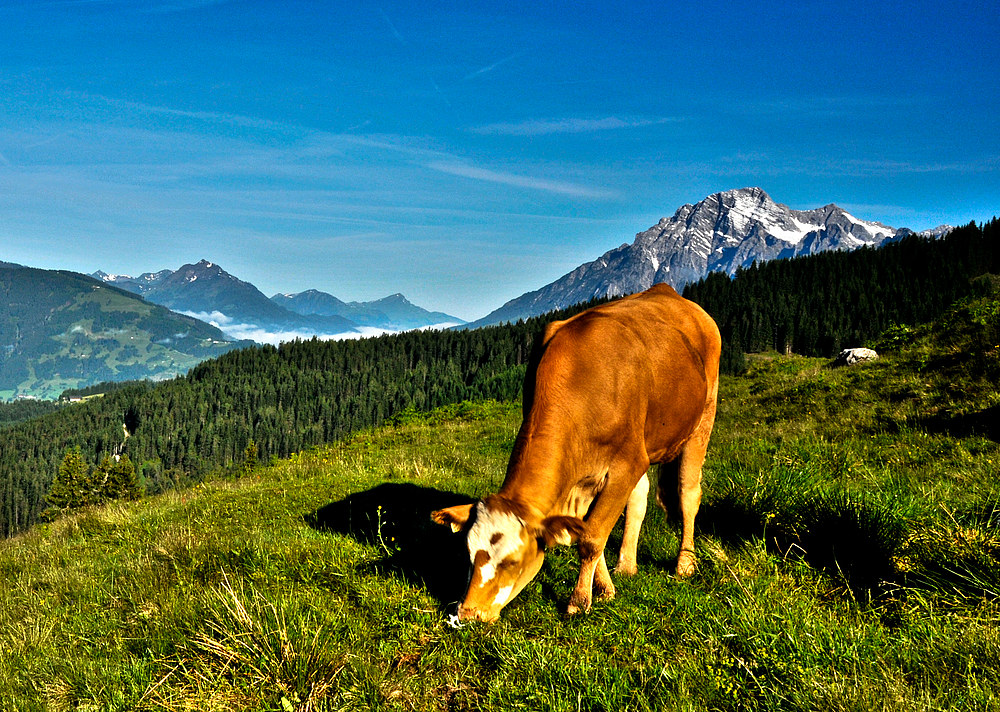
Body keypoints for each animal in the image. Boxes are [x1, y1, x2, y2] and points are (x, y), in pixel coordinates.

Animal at [430, 284, 720, 624]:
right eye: (469, 553)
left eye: (513, 562)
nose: (468, 612)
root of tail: (671, 293)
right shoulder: (587, 474)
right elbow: (587, 531)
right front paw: (605, 589)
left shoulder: (626, 463)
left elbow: (592, 538)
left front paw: (579, 601)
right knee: (640, 497)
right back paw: (627, 565)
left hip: (703, 416)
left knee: (688, 493)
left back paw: (685, 564)